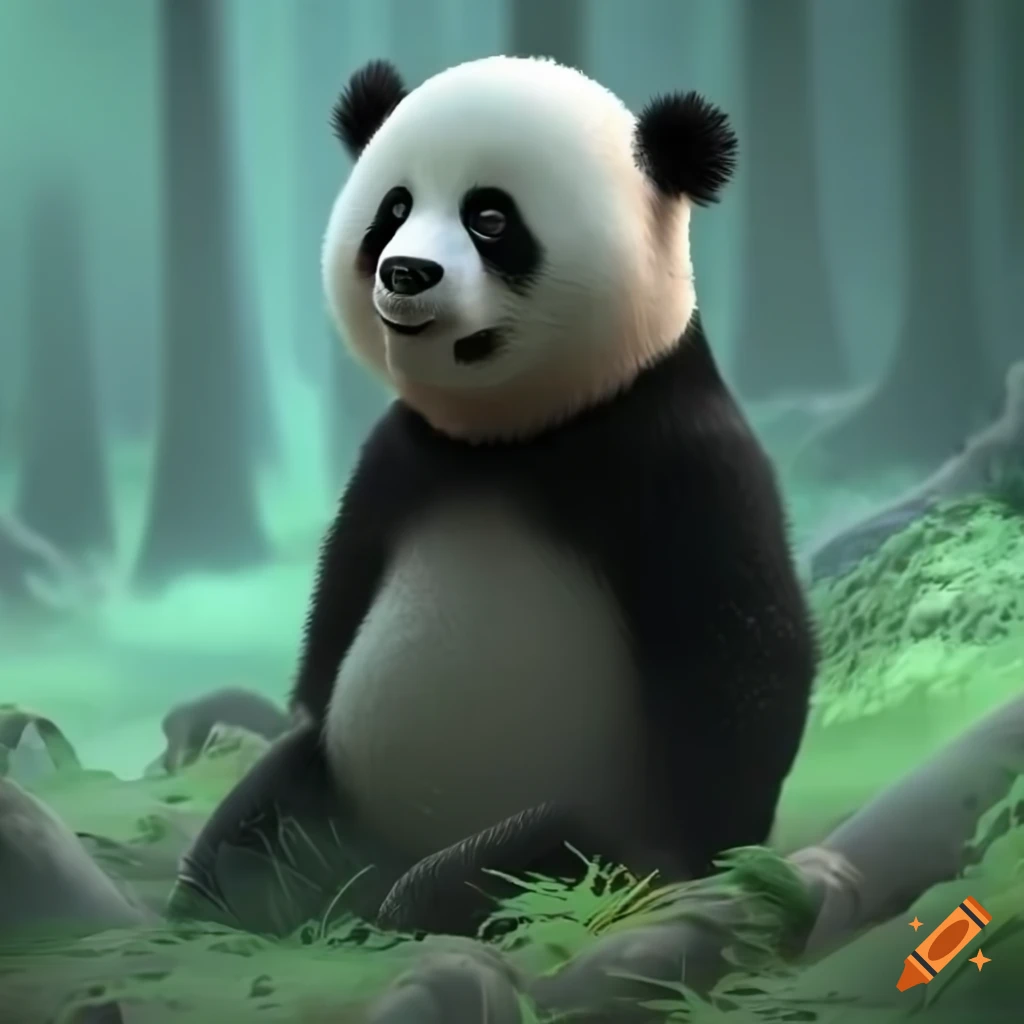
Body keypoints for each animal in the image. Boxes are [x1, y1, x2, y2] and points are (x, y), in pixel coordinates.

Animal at [168, 55, 817, 939]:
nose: (405, 273)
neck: (509, 438)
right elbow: (326, 643)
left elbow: (744, 665)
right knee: (265, 824)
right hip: (334, 803)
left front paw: (705, 854)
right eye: (394, 209)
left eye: (489, 218)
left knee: (541, 857)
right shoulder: (399, 465)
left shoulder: (677, 456)